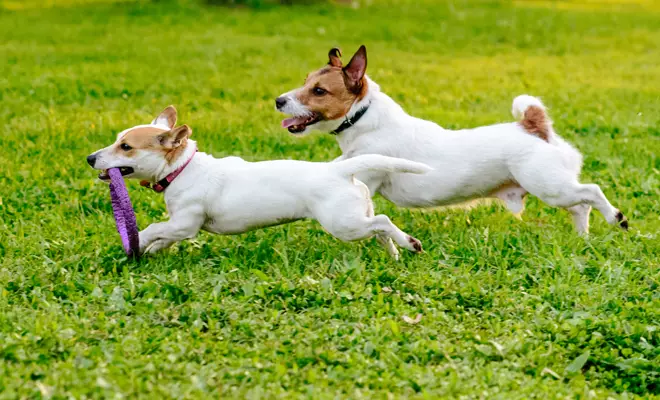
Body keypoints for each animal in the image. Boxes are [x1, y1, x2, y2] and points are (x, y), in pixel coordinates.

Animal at [85, 105, 430, 260]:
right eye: (117, 140)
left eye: (125, 147)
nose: (90, 158)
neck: (182, 168)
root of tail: (341, 171)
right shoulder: (179, 227)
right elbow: (163, 236)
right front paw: (150, 250)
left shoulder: (185, 223)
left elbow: (156, 228)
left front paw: (139, 241)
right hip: (356, 216)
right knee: (379, 226)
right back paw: (395, 253)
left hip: (343, 224)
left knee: (383, 221)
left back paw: (408, 243)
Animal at [274, 45, 628, 234]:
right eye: (305, 81)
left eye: (319, 91)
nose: (278, 100)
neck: (365, 118)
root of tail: (533, 125)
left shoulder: (369, 176)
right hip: (557, 189)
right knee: (580, 206)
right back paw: (582, 237)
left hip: (550, 185)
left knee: (591, 192)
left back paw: (616, 218)